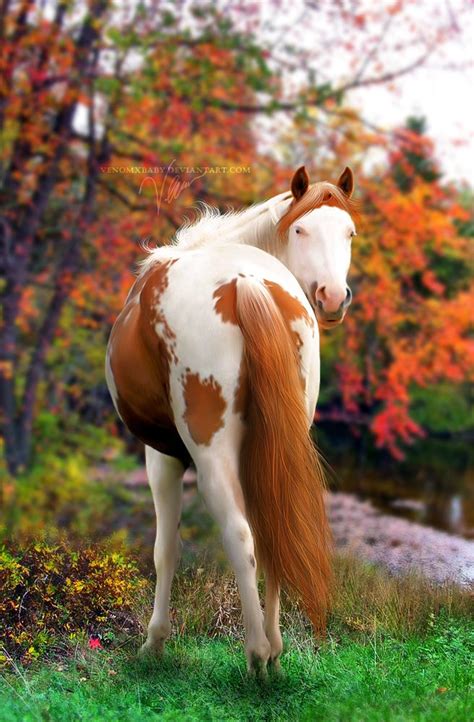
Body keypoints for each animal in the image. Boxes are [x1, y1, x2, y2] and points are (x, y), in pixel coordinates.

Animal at [105, 165, 357, 675]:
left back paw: (257, 655)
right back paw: (274, 654)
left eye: (349, 232)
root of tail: (246, 283)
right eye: (300, 230)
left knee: (239, 536)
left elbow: (166, 550)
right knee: (272, 532)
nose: (333, 297)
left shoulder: (160, 457)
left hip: (210, 458)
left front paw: (154, 643)